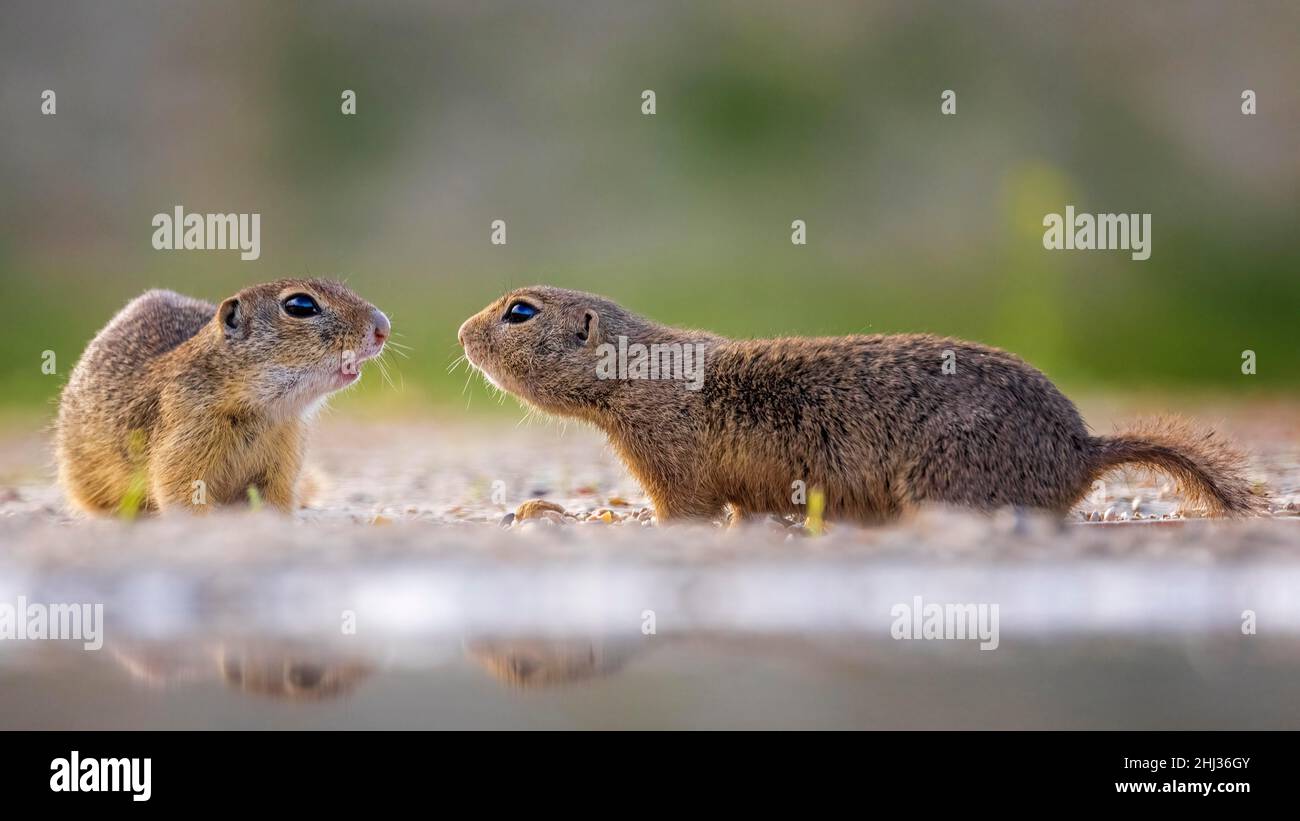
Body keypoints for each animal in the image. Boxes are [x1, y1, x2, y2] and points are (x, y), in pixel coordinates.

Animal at [56, 278, 390, 514]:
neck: (262, 409)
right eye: (300, 305)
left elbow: (277, 500)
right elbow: (179, 491)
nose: (383, 326)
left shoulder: (285, 453)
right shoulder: (185, 437)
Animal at [458, 286, 1260, 524]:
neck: (639, 372)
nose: (461, 332)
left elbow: (680, 511)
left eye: (521, 310)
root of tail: (1084, 449)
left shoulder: (667, 454)